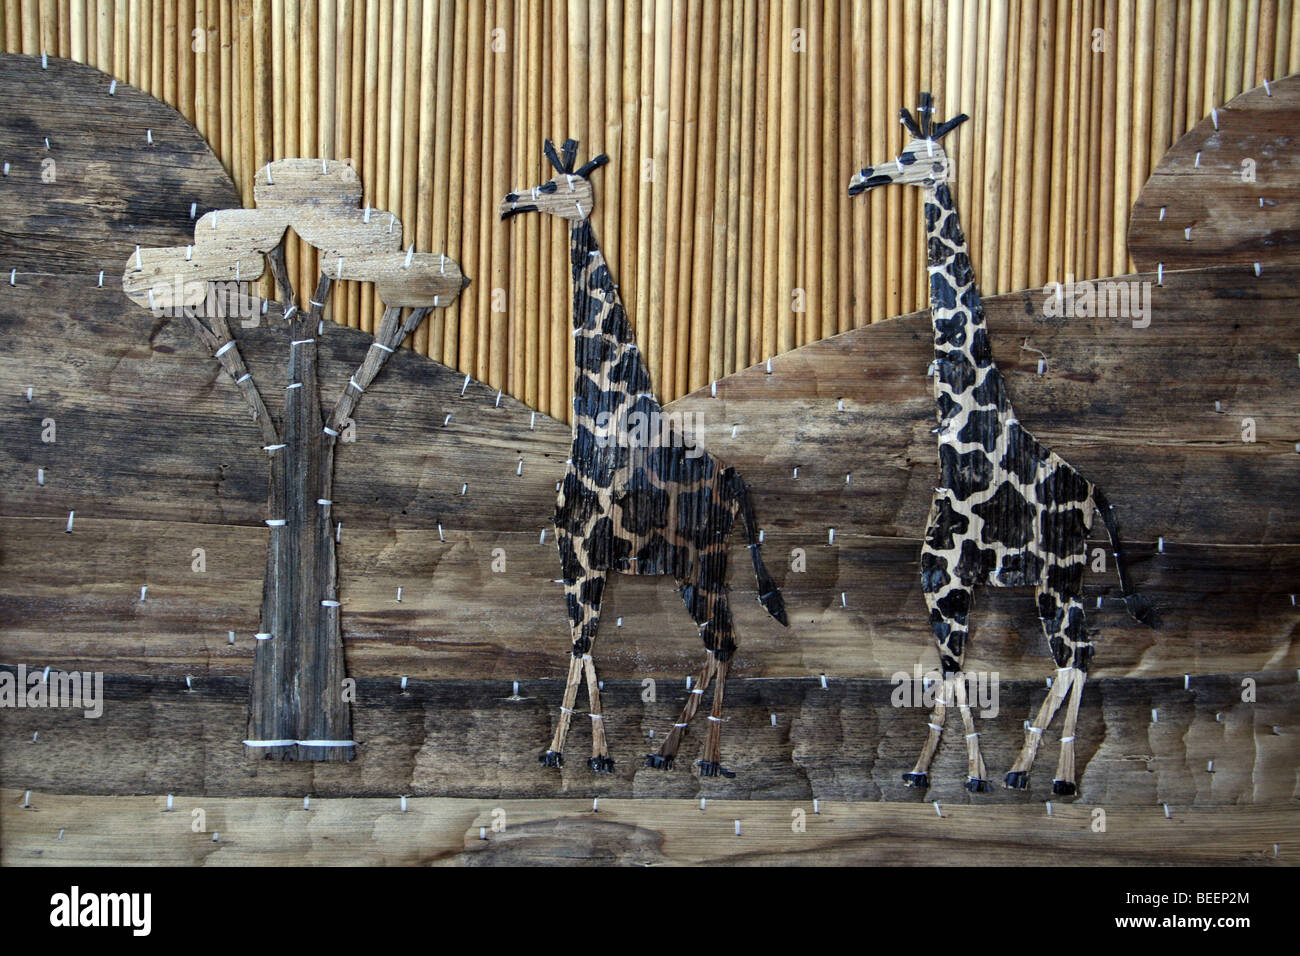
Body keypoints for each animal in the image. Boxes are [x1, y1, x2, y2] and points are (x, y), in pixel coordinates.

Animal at [501, 139, 789, 778]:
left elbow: (581, 644)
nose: (511, 199)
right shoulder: (582, 557)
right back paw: (667, 752)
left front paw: (576, 751)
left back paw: (704, 759)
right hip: (689, 570)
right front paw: (589, 752)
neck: (600, 425)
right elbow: (585, 645)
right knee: (718, 643)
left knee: (724, 641)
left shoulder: (579, 553)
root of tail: (735, 478)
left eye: (553, 186)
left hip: (706, 564)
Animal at [849, 94, 1158, 796]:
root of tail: (1095, 491)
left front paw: (971, 772)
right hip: (1056, 579)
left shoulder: (945, 576)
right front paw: (928, 769)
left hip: (1060, 573)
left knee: (1078, 653)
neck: (960, 444)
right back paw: (1026, 768)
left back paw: (1048, 773)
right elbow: (951, 669)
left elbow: (955, 668)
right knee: (1076, 653)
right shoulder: (944, 576)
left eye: (908, 154)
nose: (861, 178)